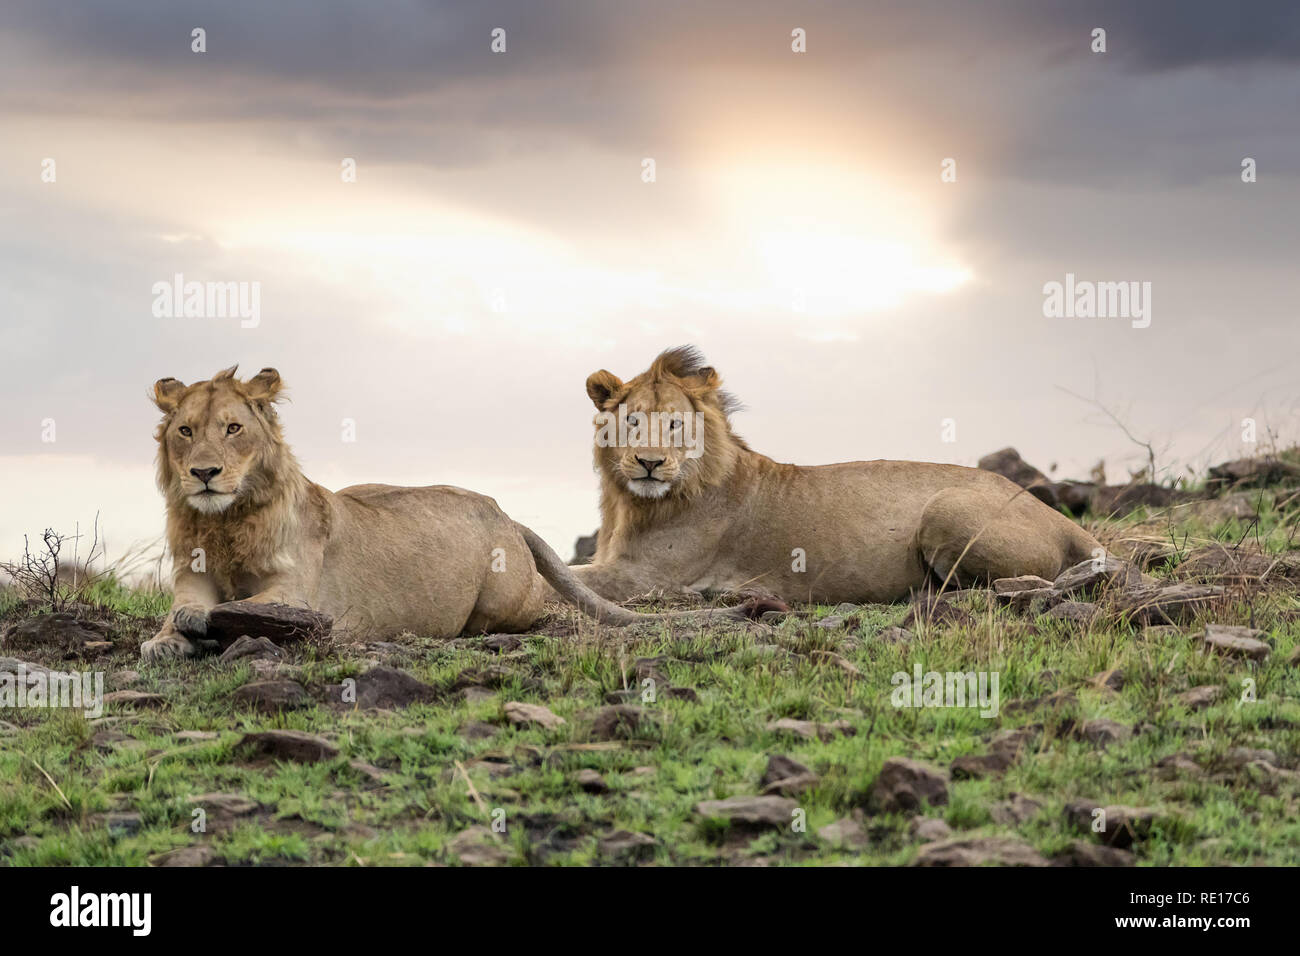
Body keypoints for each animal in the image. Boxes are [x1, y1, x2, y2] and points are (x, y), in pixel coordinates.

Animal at [140, 365, 754, 662]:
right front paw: (167, 639)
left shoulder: (297, 595)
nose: (204, 473)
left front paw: (199, 626)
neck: (222, 521)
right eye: (186, 431)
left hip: (502, 598)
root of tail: (502, 509)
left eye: (233, 428)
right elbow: (178, 611)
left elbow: (241, 607)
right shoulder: (191, 575)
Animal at [568, 346, 1106, 605]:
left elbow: (566, 580)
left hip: (946, 508)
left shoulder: (647, 576)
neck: (630, 503)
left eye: (676, 425)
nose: (650, 462)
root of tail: (1059, 519)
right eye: (632, 421)